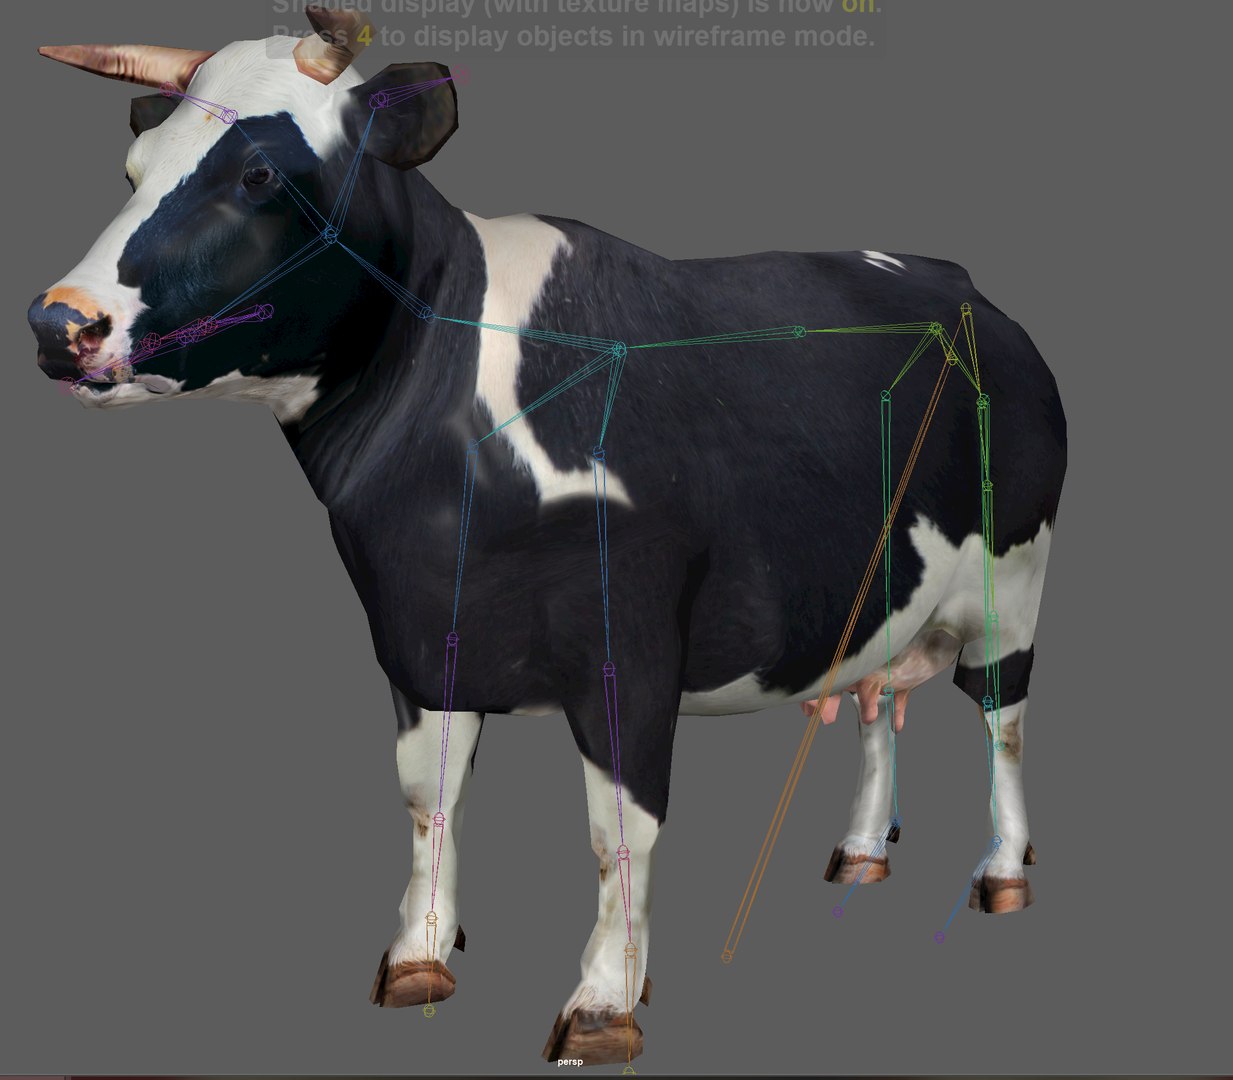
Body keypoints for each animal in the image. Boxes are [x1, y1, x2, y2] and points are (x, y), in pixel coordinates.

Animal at [28, 7, 1066, 1067]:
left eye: (260, 177)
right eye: (133, 165)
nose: (59, 323)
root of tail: (963, 285)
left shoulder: (632, 645)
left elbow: (620, 832)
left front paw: (607, 1000)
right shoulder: (417, 632)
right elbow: (427, 797)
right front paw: (420, 952)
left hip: (1011, 587)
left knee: (1004, 722)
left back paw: (1001, 872)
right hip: (882, 594)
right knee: (873, 703)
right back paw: (859, 854)